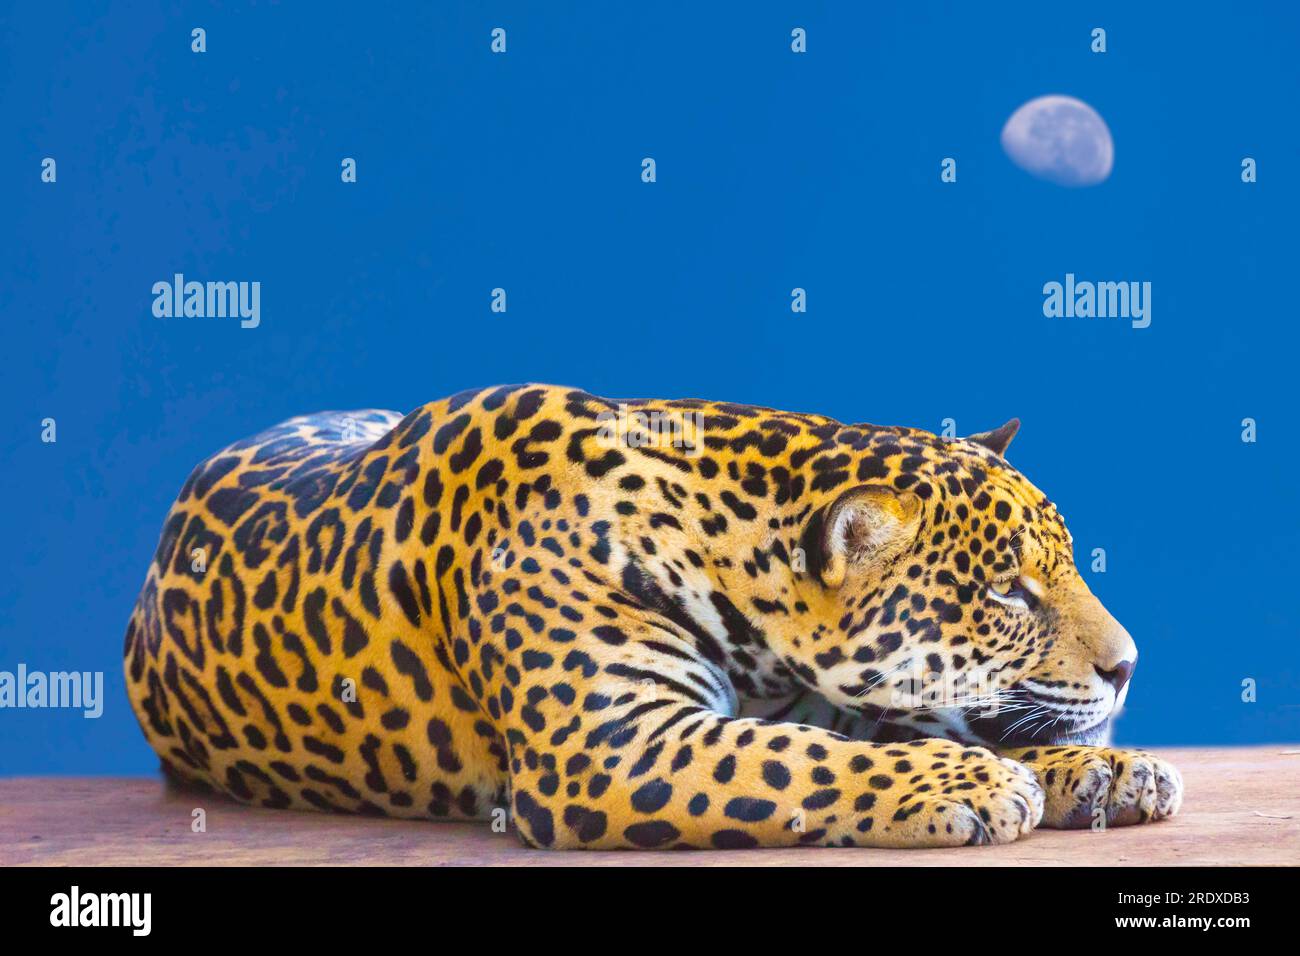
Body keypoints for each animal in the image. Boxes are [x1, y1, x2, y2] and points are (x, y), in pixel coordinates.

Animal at [124, 384, 1182, 849]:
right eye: (1007, 591)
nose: (1130, 665)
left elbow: (888, 729)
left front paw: (1104, 770)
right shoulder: (612, 745)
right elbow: (810, 761)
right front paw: (977, 783)